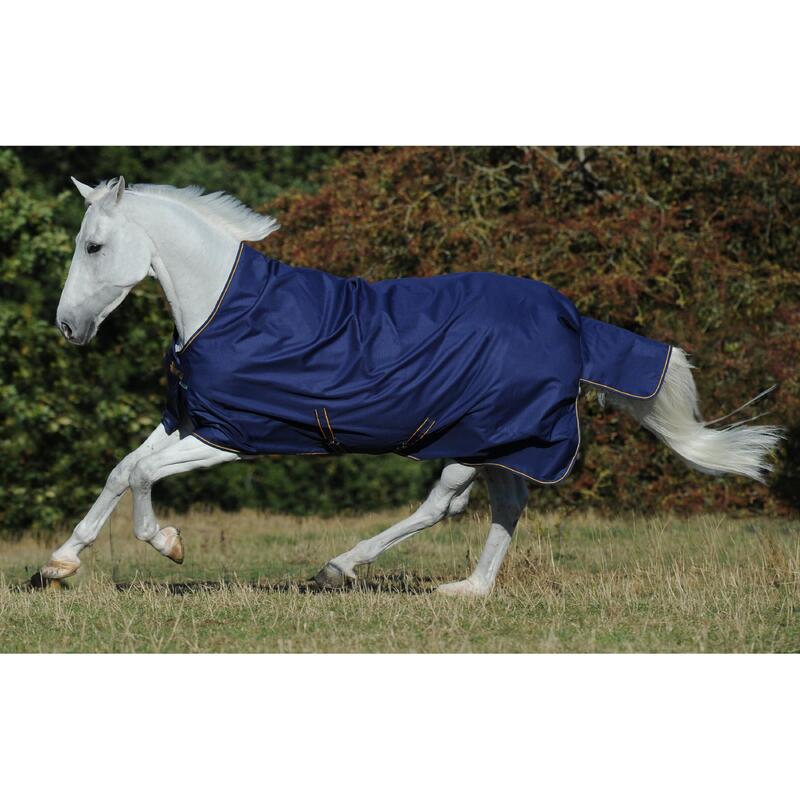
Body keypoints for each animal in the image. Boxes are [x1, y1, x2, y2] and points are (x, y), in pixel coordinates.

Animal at [41, 176, 782, 597]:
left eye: (94, 247)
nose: (68, 327)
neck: (227, 308)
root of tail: (571, 321)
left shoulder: (232, 435)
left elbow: (143, 477)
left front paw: (168, 544)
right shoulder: (187, 418)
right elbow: (120, 469)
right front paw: (58, 565)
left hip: (481, 436)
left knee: (445, 504)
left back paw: (341, 569)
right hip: (502, 440)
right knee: (503, 504)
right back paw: (467, 590)